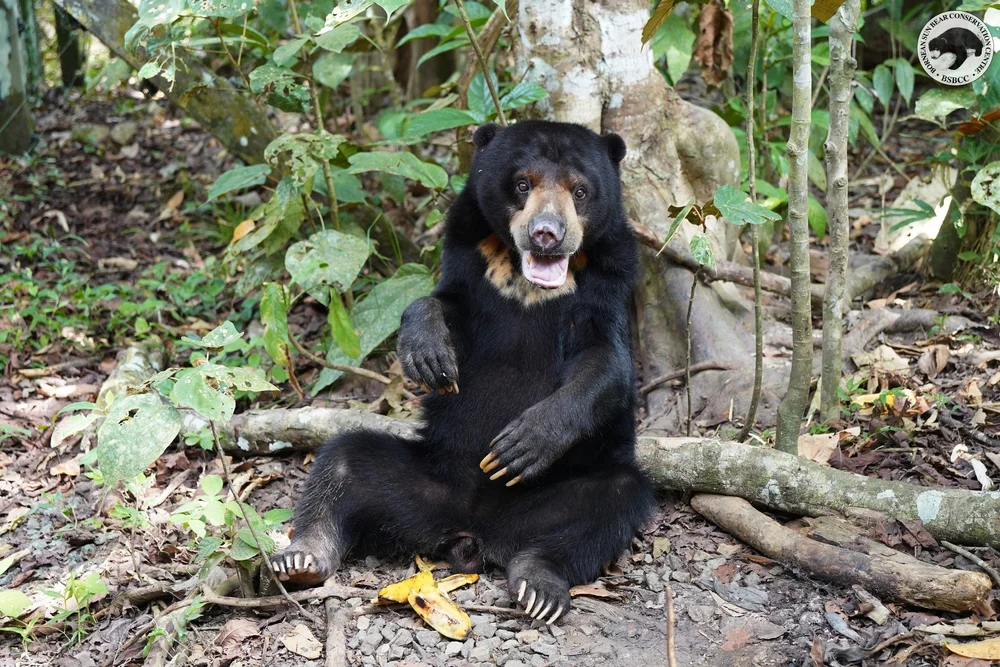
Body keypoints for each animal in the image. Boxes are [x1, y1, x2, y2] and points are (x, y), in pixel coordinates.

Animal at [270, 120, 654, 625]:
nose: (546, 234)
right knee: (343, 461)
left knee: (609, 503)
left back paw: (540, 585)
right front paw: (427, 356)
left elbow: (606, 363)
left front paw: (520, 445)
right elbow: (444, 305)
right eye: (522, 184)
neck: (526, 281)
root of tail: (470, 532)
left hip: (560, 499)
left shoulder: (608, 282)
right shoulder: (470, 256)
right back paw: (301, 558)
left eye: (581, 190)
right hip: (425, 482)